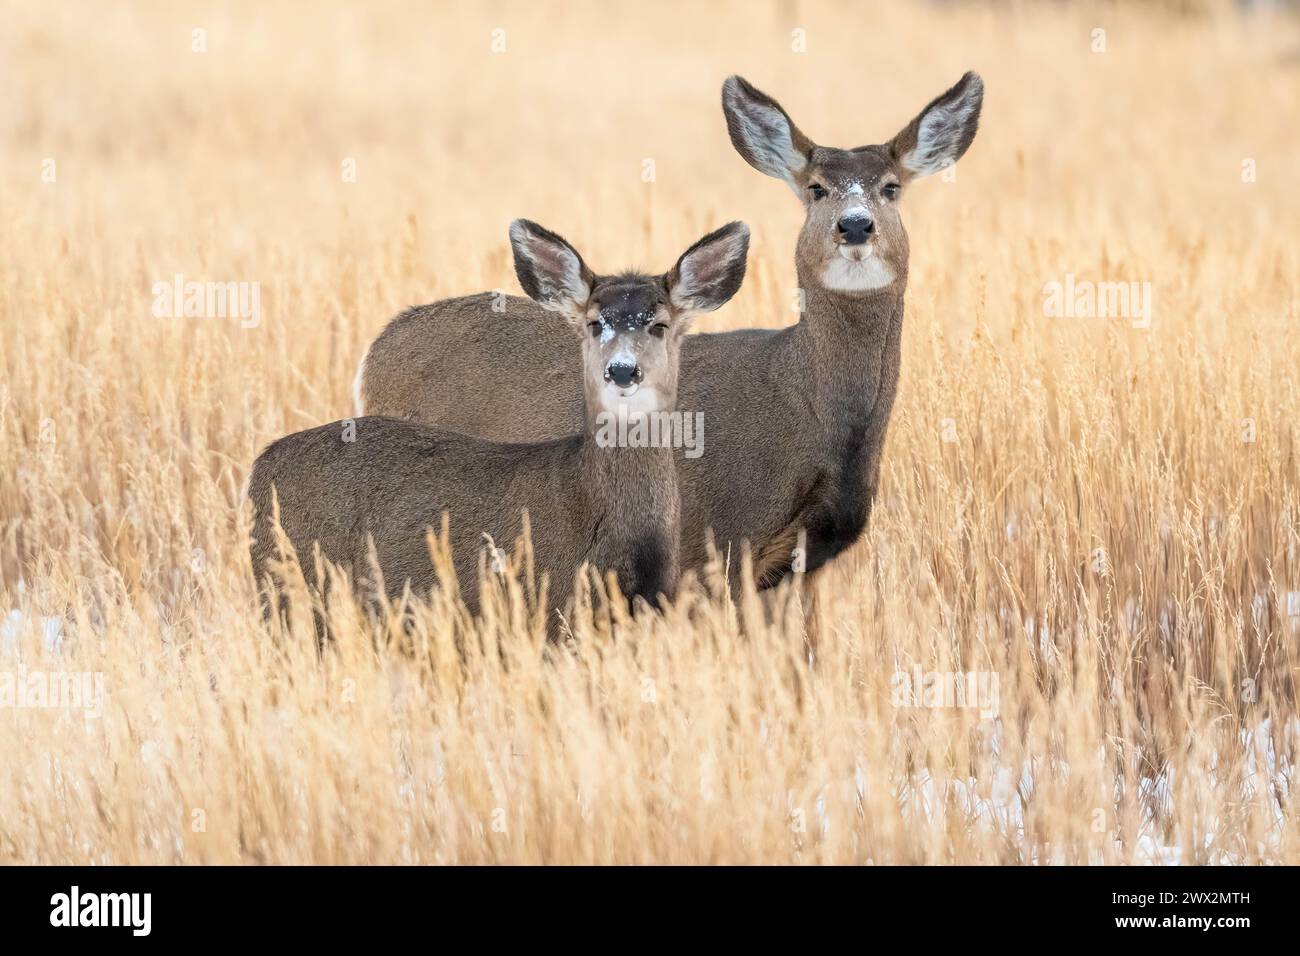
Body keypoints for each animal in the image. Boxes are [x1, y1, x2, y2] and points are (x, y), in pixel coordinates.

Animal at [354, 73, 983, 599]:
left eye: (892, 187)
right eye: (817, 189)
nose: (856, 227)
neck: (809, 408)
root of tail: (374, 353)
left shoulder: (796, 565)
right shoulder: (716, 538)